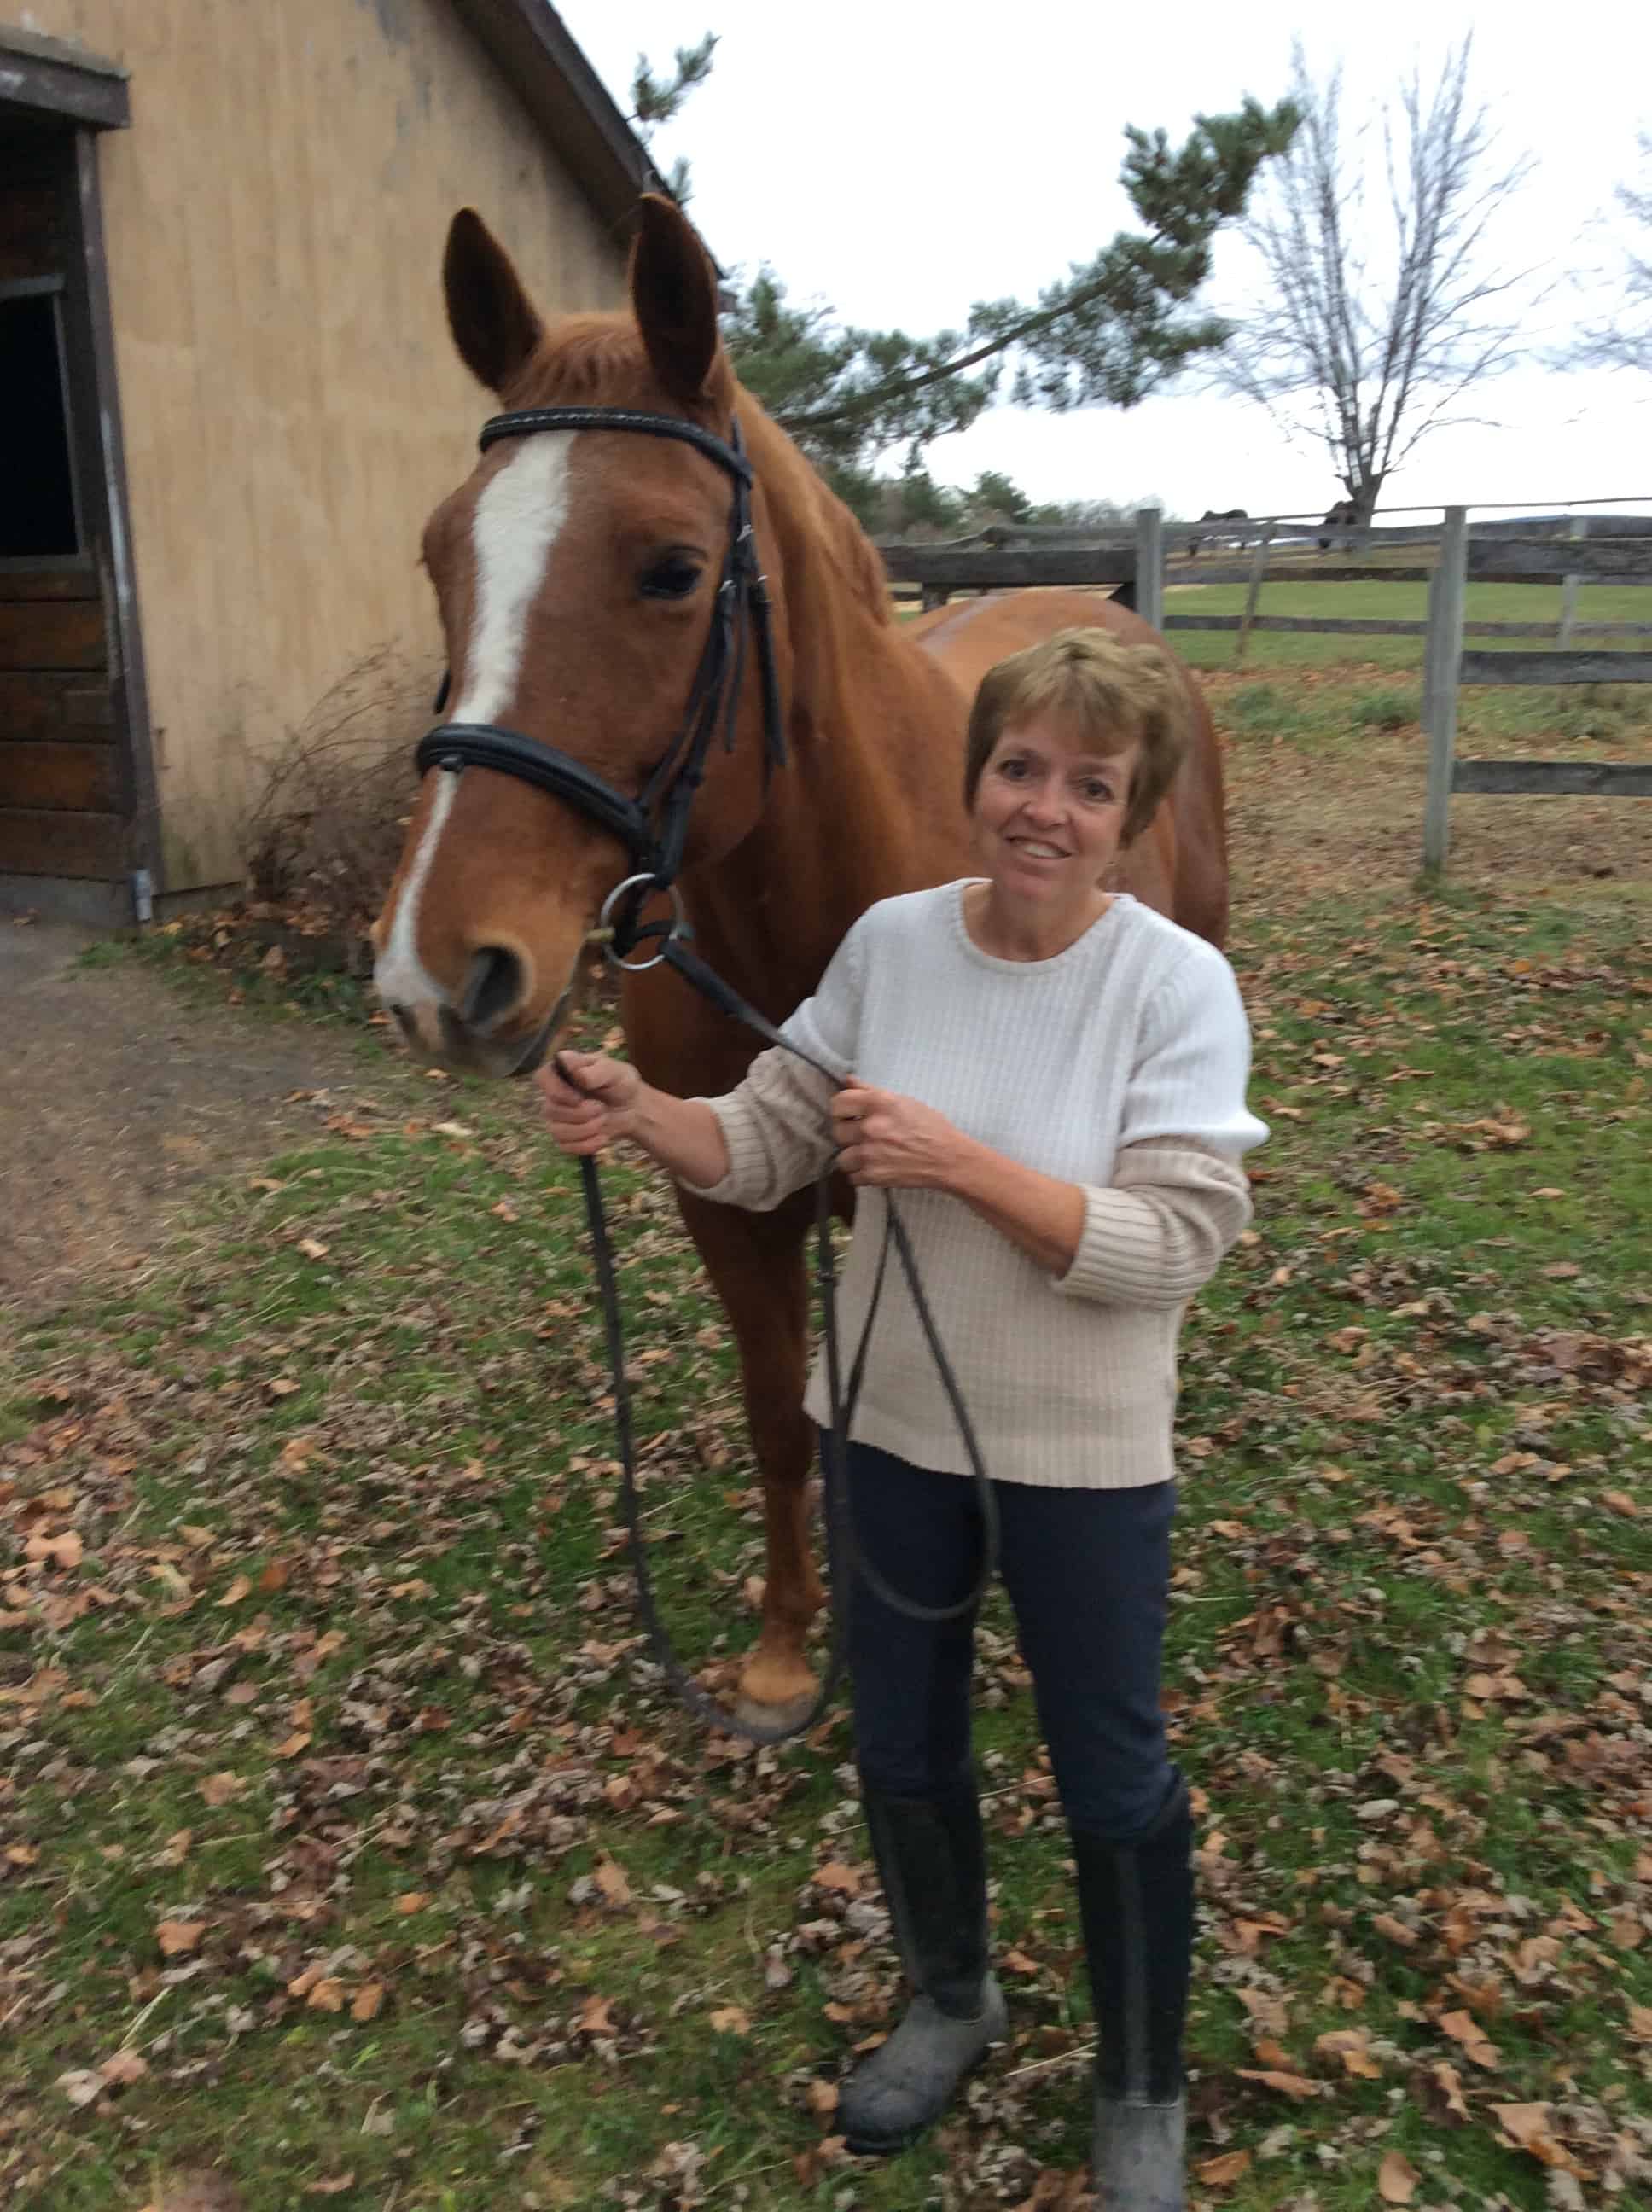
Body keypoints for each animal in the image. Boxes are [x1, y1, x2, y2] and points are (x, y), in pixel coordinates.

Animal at [371, 194, 1231, 1734]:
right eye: (440, 557)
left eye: (669, 568)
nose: (433, 975)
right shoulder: (736, 1201)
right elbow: (783, 1411)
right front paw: (784, 1647)